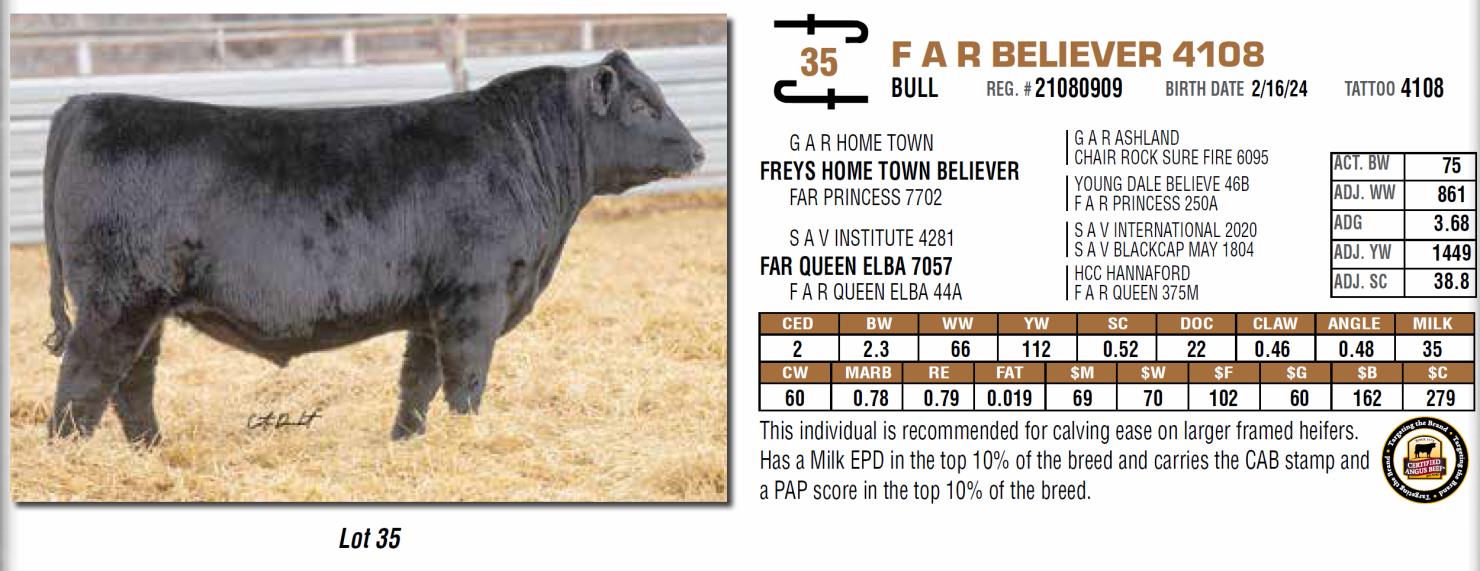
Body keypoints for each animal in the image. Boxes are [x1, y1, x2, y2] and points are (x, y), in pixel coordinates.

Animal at [41, 50, 705, 444]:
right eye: (642, 103)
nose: (698, 151)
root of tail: (88, 103)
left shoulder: (434, 307)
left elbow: (419, 382)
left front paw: (408, 443)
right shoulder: (476, 298)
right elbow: (466, 381)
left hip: (145, 304)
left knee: (132, 381)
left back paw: (153, 452)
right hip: (117, 299)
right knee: (85, 377)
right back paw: (74, 454)